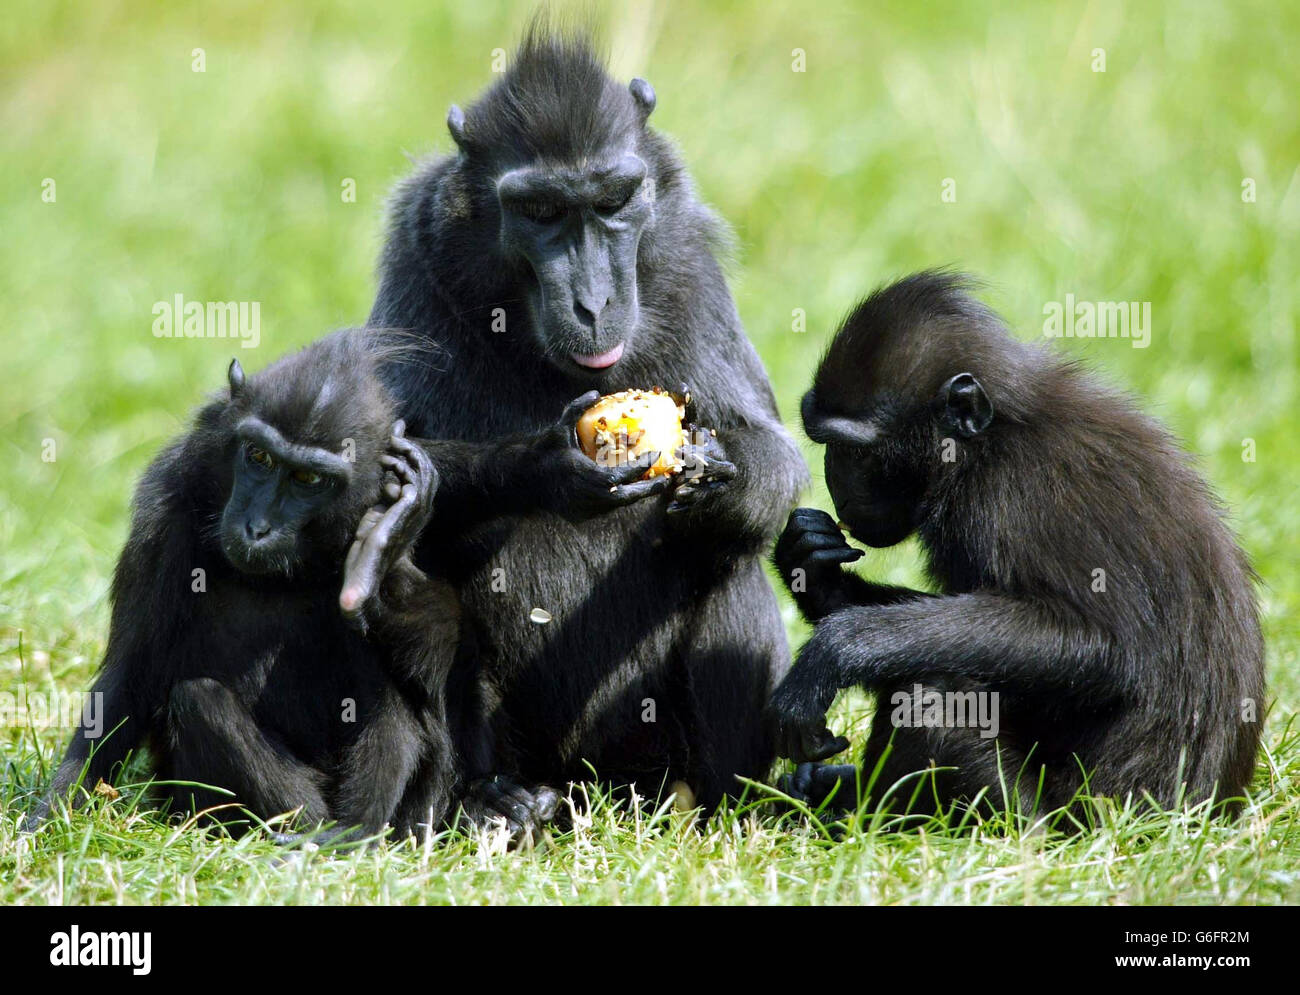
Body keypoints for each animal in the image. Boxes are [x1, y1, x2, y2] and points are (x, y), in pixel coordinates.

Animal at [28, 331, 464, 840]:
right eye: (259, 457)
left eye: (308, 478)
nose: (257, 528)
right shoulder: (164, 514)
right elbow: (131, 675)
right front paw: (49, 819)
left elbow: (430, 680)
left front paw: (383, 539)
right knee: (200, 699)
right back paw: (306, 836)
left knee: (395, 700)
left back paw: (351, 835)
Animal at [365, 23, 807, 827]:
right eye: (540, 211)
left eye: (613, 200)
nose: (595, 304)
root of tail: (593, 786)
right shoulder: (420, 250)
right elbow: (387, 465)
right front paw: (546, 468)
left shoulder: (686, 253)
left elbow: (769, 446)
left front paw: (725, 478)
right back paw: (494, 801)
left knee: (728, 565)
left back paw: (718, 812)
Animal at [768, 271, 1264, 823]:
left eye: (852, 450)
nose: (833, 484)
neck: (989, 440)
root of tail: (1211, 809)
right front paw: (812, 571)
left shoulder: (1005, 498)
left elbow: (1103, 648)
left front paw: (837, 650)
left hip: (1069, 815)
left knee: (928, 695)